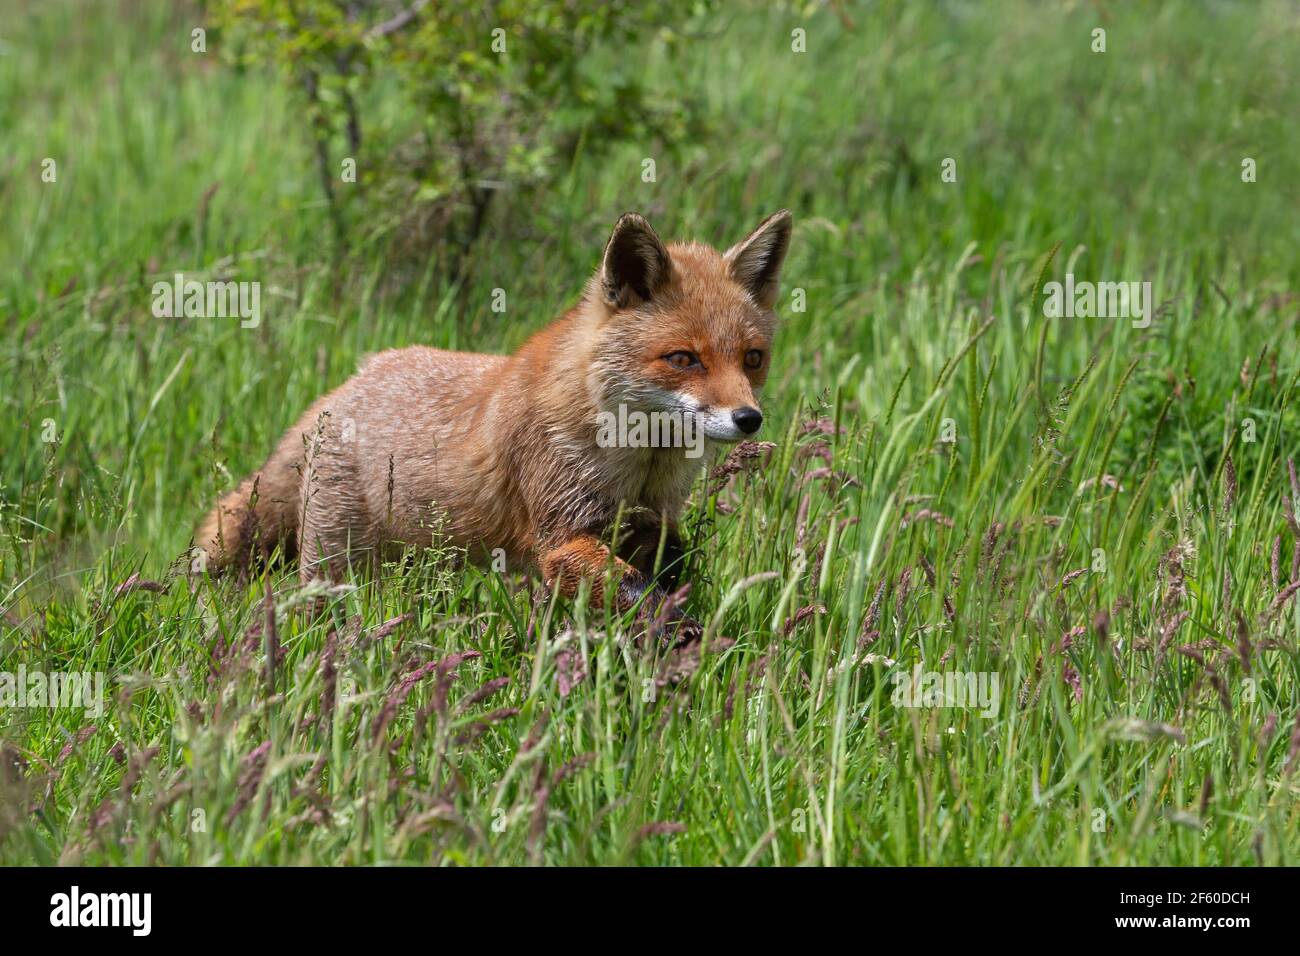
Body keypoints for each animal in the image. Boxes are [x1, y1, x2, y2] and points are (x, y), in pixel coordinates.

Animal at [194, 209, 792, 640]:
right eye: (684, 359)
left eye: (753, 359)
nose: (748, 419)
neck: (638, 465)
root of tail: (348, 384)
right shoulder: (561, 537)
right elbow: (635, 590)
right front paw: (680, 633)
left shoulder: (653, 527)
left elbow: (665, 575)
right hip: (333, 566)